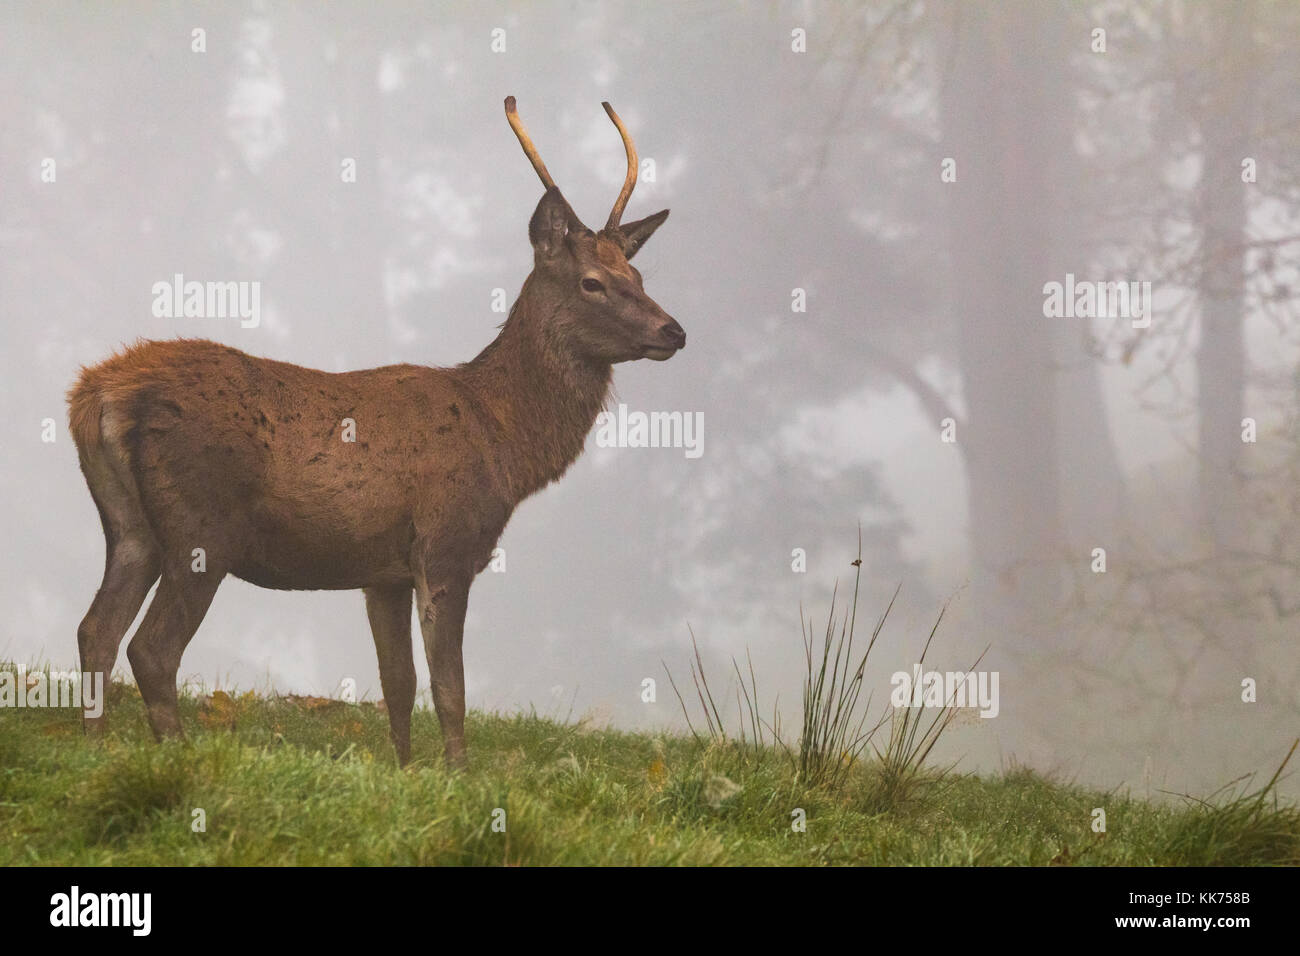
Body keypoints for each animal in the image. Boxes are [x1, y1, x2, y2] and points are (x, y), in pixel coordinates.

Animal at [67, 96, 684, 768]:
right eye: (591, 281)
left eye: (640, 278)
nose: (674, 330)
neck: (503, 443)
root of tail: (98, 394)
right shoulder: (445, 544)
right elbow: (449, 685)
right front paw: (460, 775)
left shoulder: (381, 572)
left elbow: (398, 683)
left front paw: (405, 771)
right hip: (202, 527)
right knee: (151, 648)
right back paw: (176, 755)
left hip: (130, 527)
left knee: (95, 629)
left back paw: (94, 752)